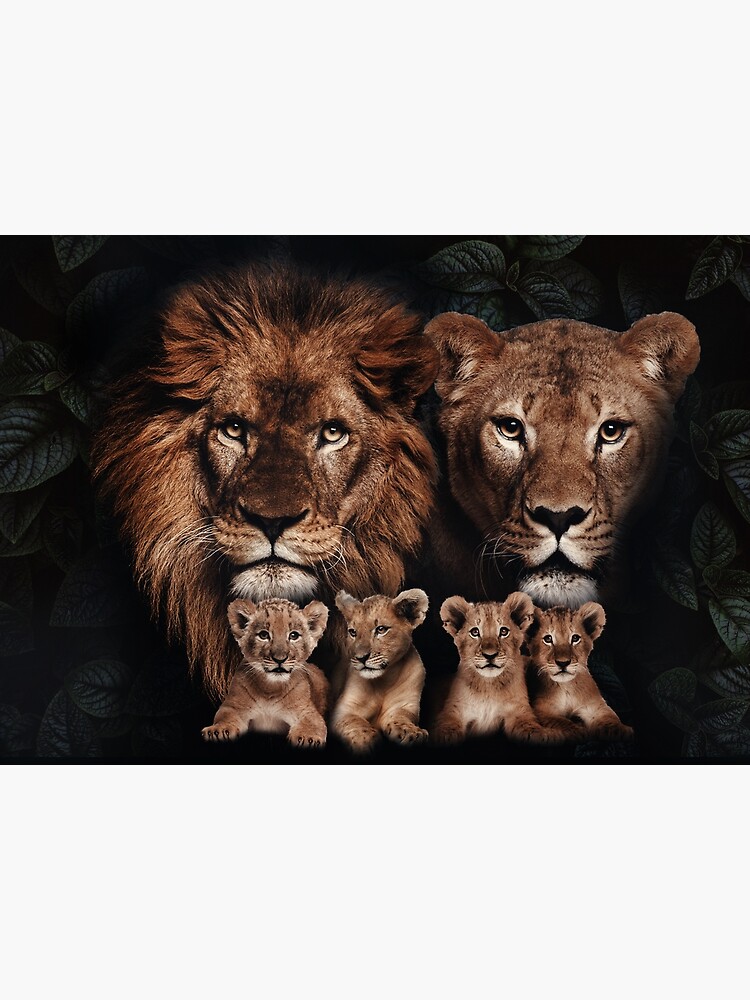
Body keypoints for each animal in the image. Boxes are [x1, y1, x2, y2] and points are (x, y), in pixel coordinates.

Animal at [202, 598, 330, 746]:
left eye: (294, 635)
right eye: (263, 635)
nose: (280, 659)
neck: (270, 688)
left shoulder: (307, 711)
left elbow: (313, 723)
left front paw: (307, 738)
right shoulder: (233, 707)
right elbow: (224, 716)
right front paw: (218, 730)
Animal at [332, 589, 429, 753]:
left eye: (381, 629)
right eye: (353, 632)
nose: (361, 658)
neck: (384, 680)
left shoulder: (403, 706)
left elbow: (401, 717)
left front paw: (411, 732)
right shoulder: (342, 709)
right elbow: (354, 721)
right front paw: (366, 739)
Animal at [435, 592, 567, 745]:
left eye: (503, 631)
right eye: (475, 632)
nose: (490, 655)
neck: (489, 686)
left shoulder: (518, 712)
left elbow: (532, 728)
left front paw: (549, 734)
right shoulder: (453, 711)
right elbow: (446, 729)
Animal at [527, 603, 634, 742]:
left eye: (575, 638)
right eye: (548, 639)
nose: (563, 663)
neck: (566, 687)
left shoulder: (595, 706)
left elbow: (610, 718)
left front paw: (622, 730)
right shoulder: (541, 710)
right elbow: (561, 722)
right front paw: (579, 731)